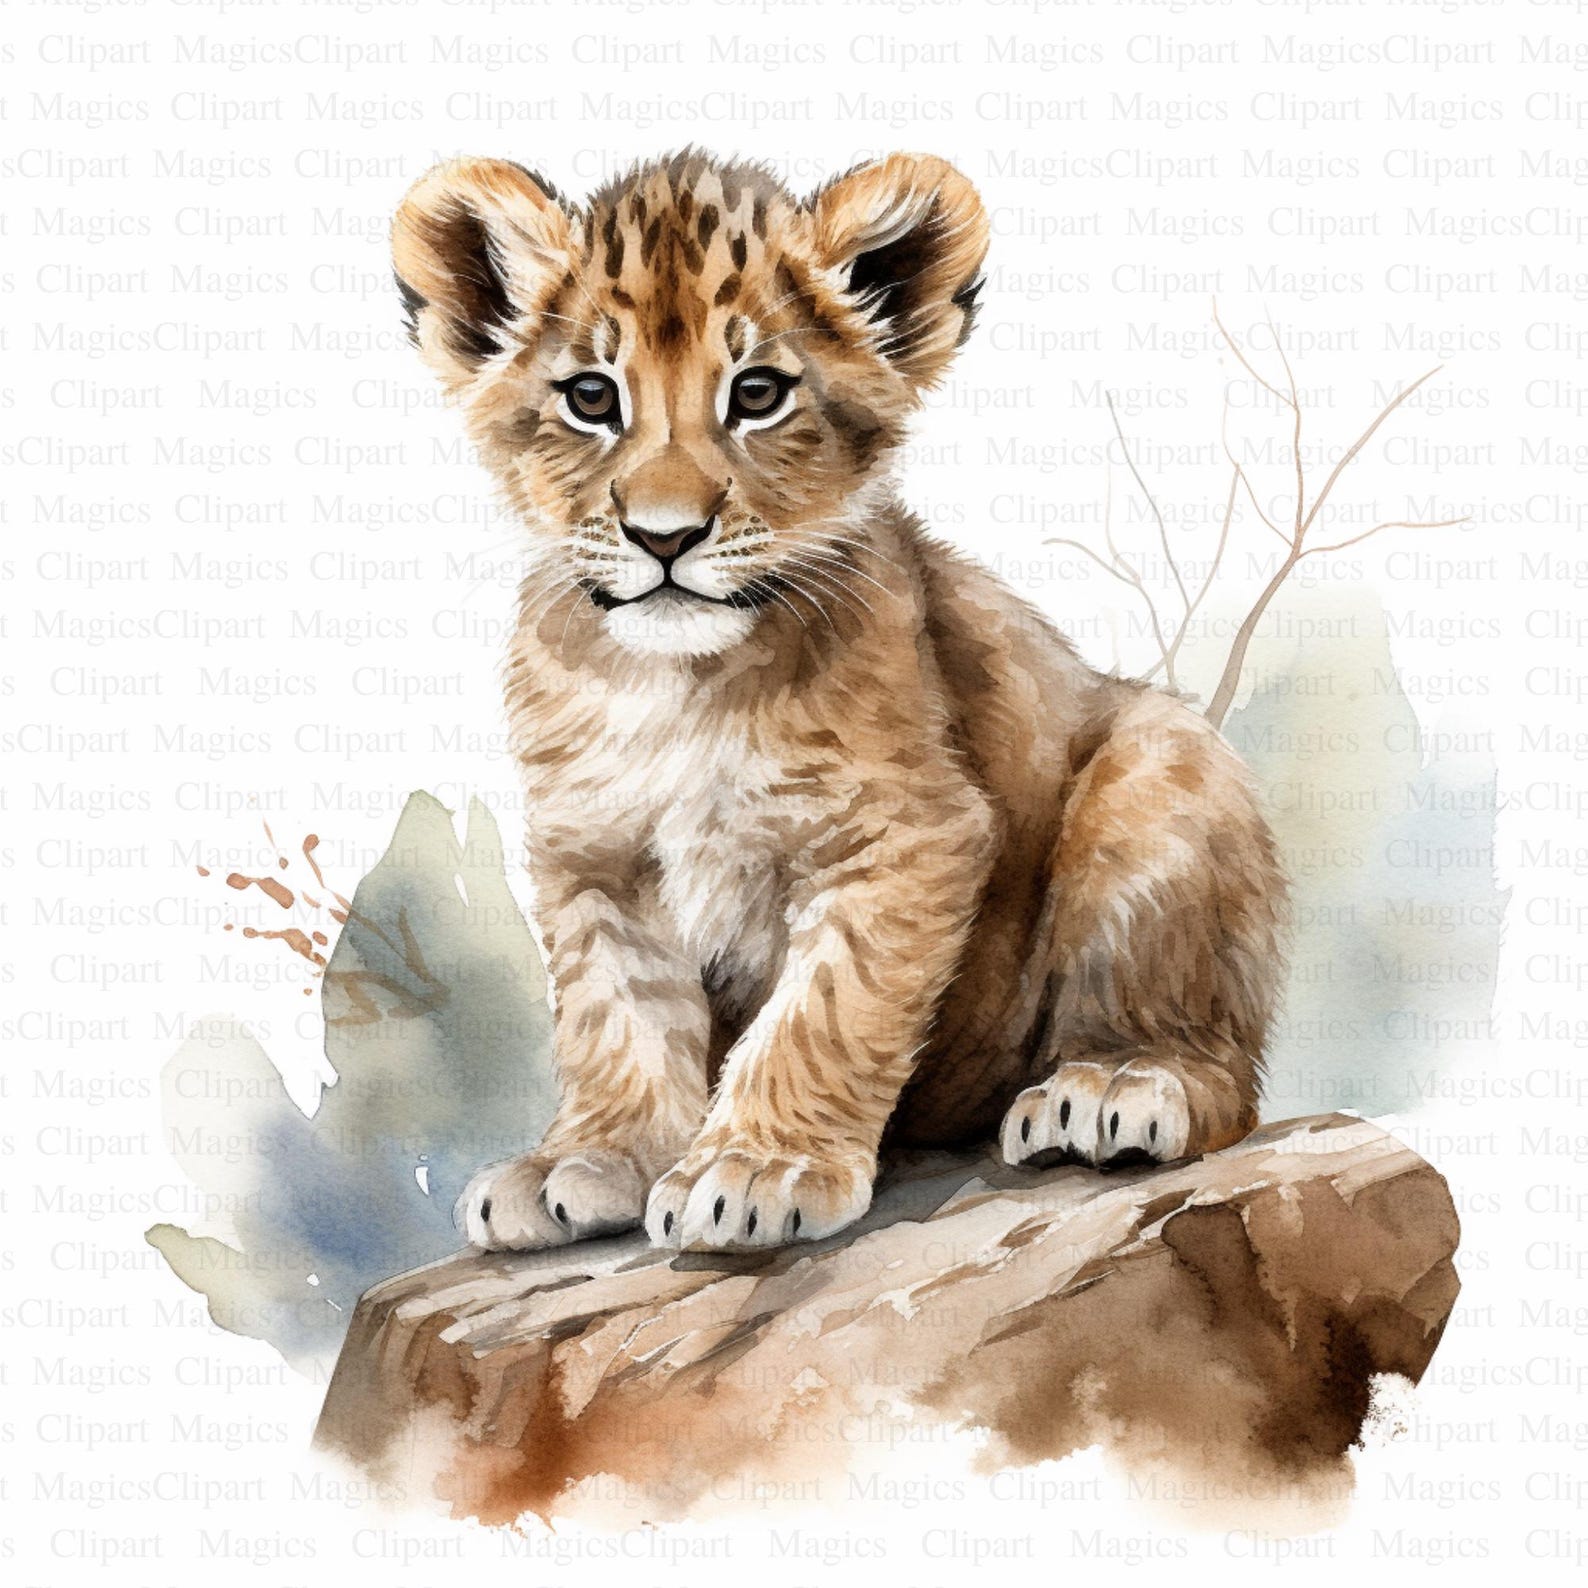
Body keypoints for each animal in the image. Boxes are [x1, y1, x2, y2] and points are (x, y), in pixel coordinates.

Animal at [390, 149, 1287, 1253]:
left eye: (758, 393)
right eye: (591, 397)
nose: (663, 537)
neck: (676, 686)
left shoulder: (908, 833)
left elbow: (823, 1010)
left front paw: (756, 1169)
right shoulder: (594, 857)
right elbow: (617, 1016)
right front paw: (589, 1158)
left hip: (1165, 768)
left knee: (1214, 1062)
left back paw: (1115, 1086)